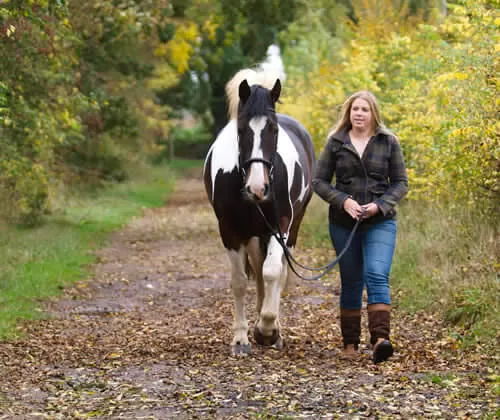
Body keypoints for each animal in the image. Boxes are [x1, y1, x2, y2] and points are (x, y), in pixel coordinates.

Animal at [202, 68, 312, 354]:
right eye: (241, 129)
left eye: (273, 129)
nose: (258, 187)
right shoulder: (230, 231)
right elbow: (240, 282)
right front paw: (241, 338)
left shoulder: (280, 226)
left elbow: (273, 272)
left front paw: (267, 329)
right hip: (253, 235)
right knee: (258, 272)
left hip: (291, 229)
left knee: (276, 273)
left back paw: (274, 329)